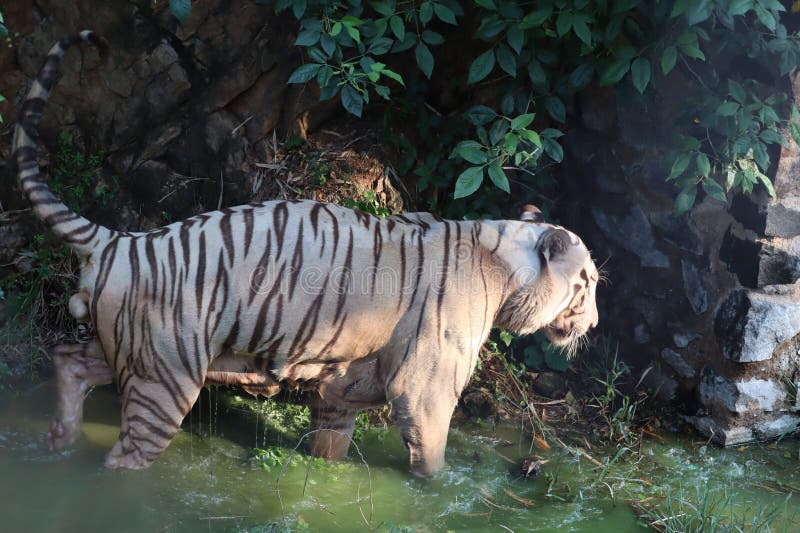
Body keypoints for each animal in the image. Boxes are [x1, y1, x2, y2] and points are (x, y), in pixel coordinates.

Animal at [13, 32, 599, 476]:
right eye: (588, 282)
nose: (592, 323)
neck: (505, 264)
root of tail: (120, 240)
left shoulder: (346, 385)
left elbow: (331, 439)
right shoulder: (426, 389)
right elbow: (430, 460)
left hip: (131, 348)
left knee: (68, 359)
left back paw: (59, 437)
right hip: (165, 374)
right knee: (122, 456)